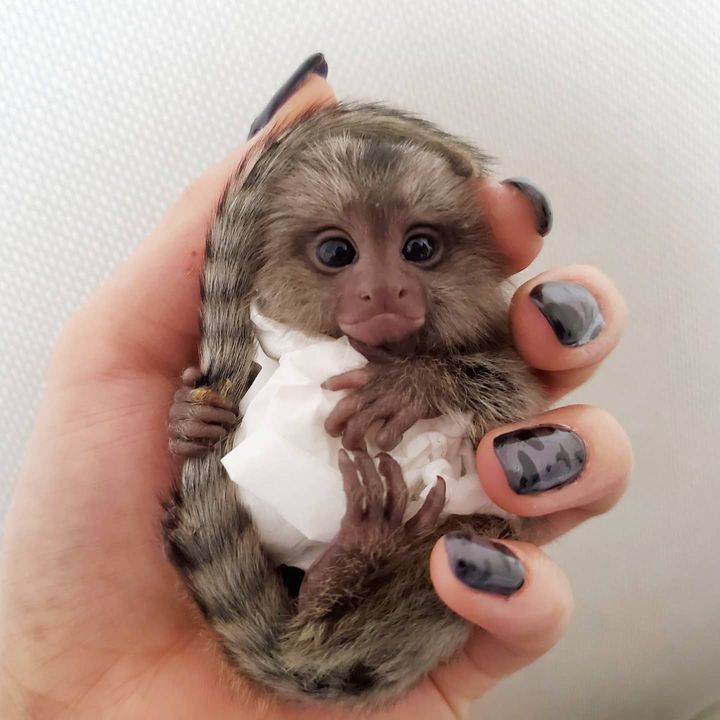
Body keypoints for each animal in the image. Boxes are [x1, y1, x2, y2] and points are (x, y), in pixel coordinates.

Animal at [162, 102, 546, 709]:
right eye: (337, 252)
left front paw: (407, 387)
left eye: (419, 249)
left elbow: (518, 407)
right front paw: (188, 417)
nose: (384, 289)